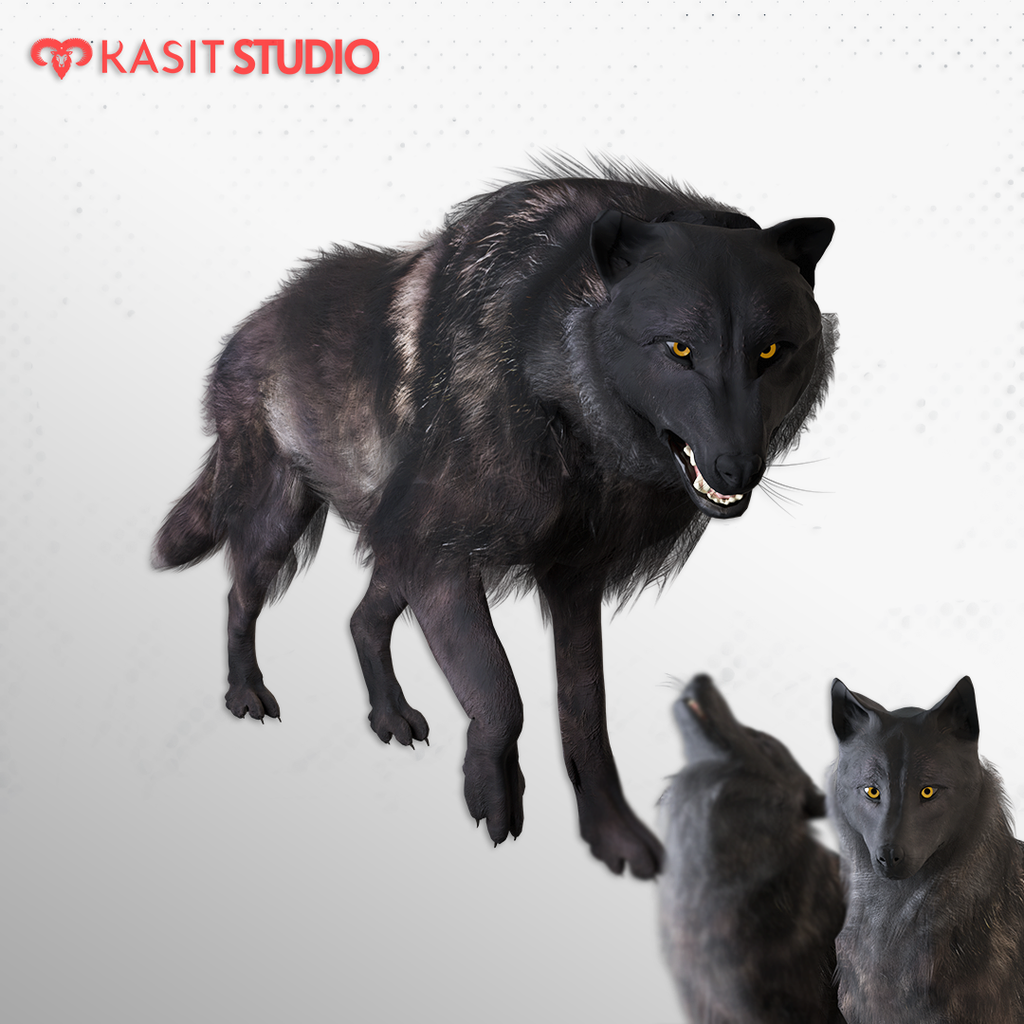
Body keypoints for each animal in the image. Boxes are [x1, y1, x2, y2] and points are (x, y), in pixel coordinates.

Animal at [153, 156, 836, 878]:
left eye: (772, 352)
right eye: (679, 349)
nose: (737, 469)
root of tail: (251, 323)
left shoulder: (571, 580)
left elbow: (584, 716)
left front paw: (611, 835)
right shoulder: (443, 560)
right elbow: (500, 692)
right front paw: (494, 795)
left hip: (395, 549)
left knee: (362, 619)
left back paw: (390, 716)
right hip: (290, 522)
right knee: (240, 597)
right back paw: (246, 696)